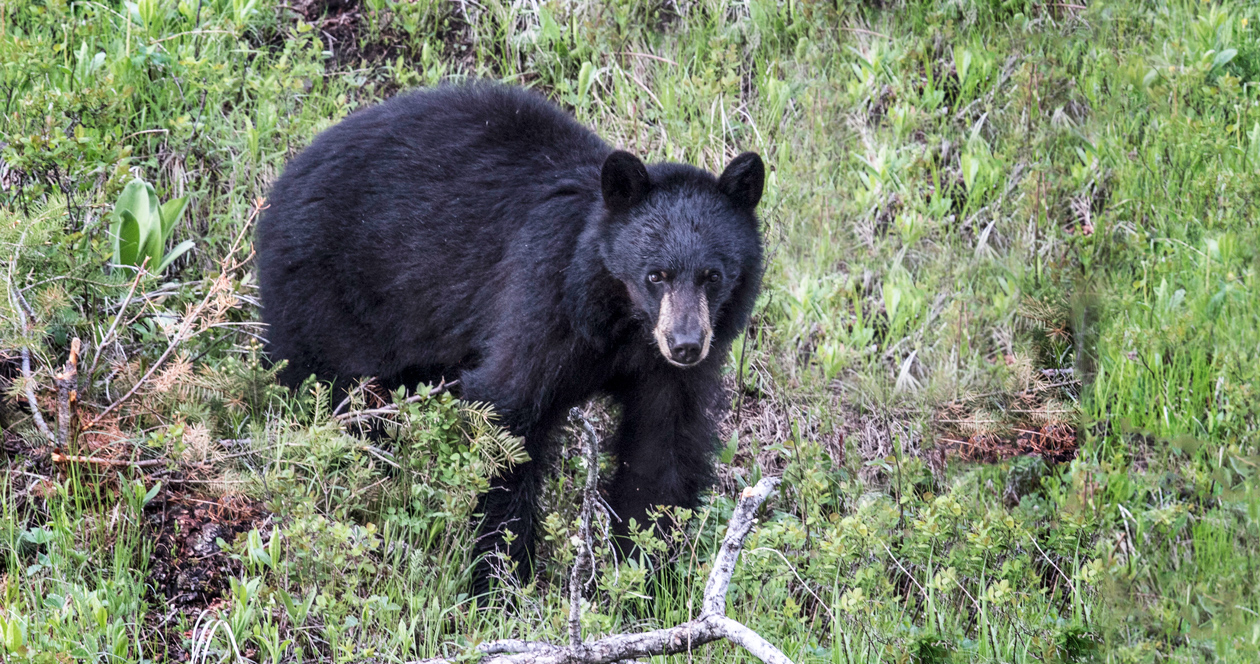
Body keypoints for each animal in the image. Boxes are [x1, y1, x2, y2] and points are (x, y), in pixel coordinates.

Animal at [256, 83, 765, 595]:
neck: (623, 324)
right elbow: (509, 414)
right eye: (655, 274)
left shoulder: (665, 373)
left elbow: (662, 447)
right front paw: (500, 578)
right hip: (329, 294)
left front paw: (645, 575)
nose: (685, 345)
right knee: (333, 389)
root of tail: (280, 184)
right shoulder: (544, 299)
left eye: (713, 276)